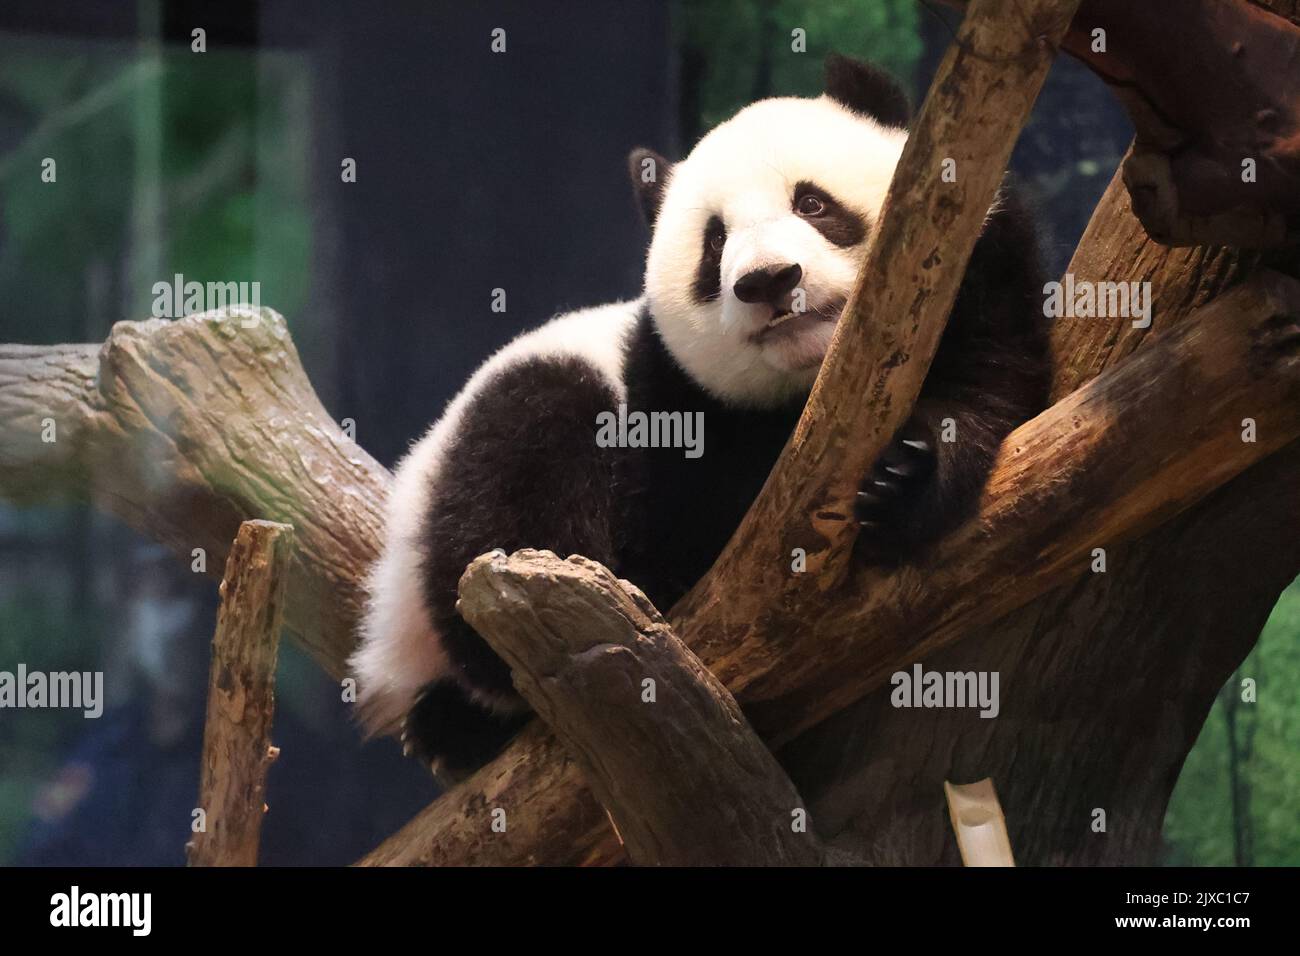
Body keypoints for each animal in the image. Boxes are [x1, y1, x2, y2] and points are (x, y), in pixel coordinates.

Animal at [350, 54, 1049, 779]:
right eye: (715, 243)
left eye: (812, 203)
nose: (768, 280)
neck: (806, 385)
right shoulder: (666, 400)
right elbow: (668, 534)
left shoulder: (987, 271)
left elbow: (993, 379)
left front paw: (905, 477)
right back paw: (451, 724)